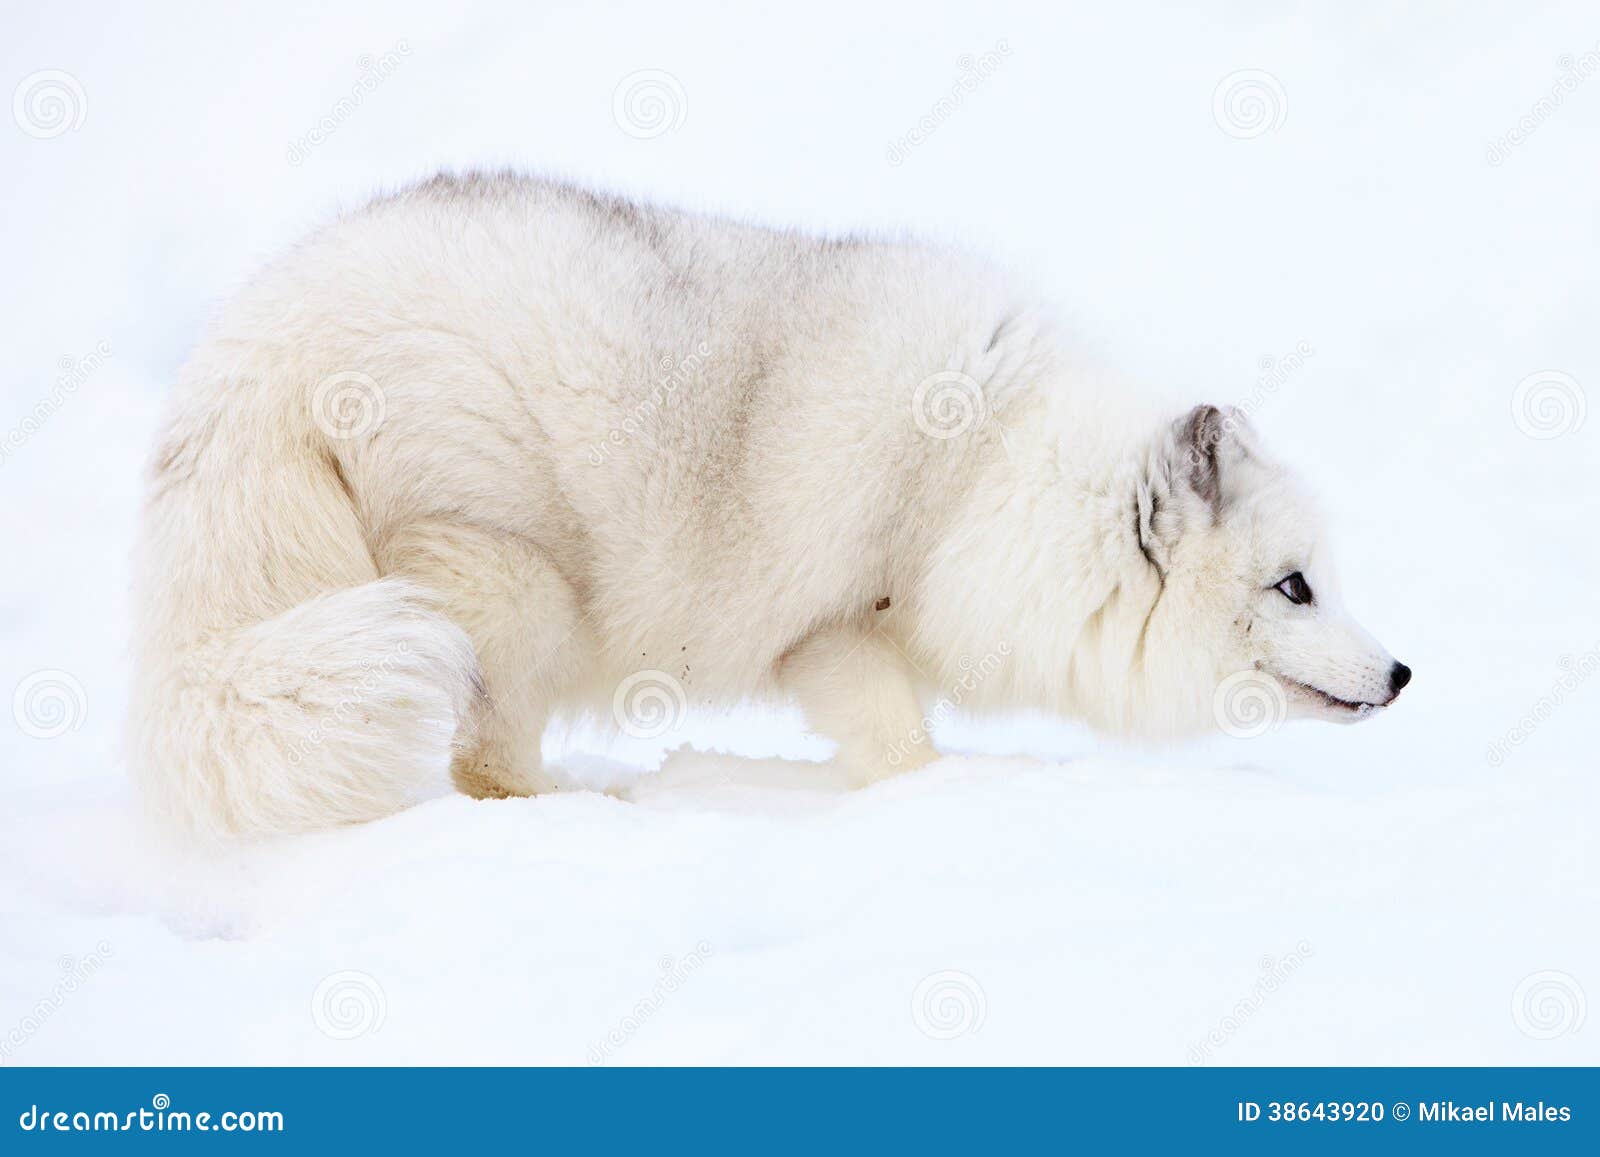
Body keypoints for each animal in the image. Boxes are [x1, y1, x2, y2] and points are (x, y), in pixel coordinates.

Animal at [130, 171, 1410, 839]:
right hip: (513, 587)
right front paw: (949, 796)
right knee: (481, 766)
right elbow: (903, 748)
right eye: (1294, 584)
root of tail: (254, 341)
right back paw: (589, 808)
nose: (1400, 672)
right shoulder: (836, 629)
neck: (986, 476)